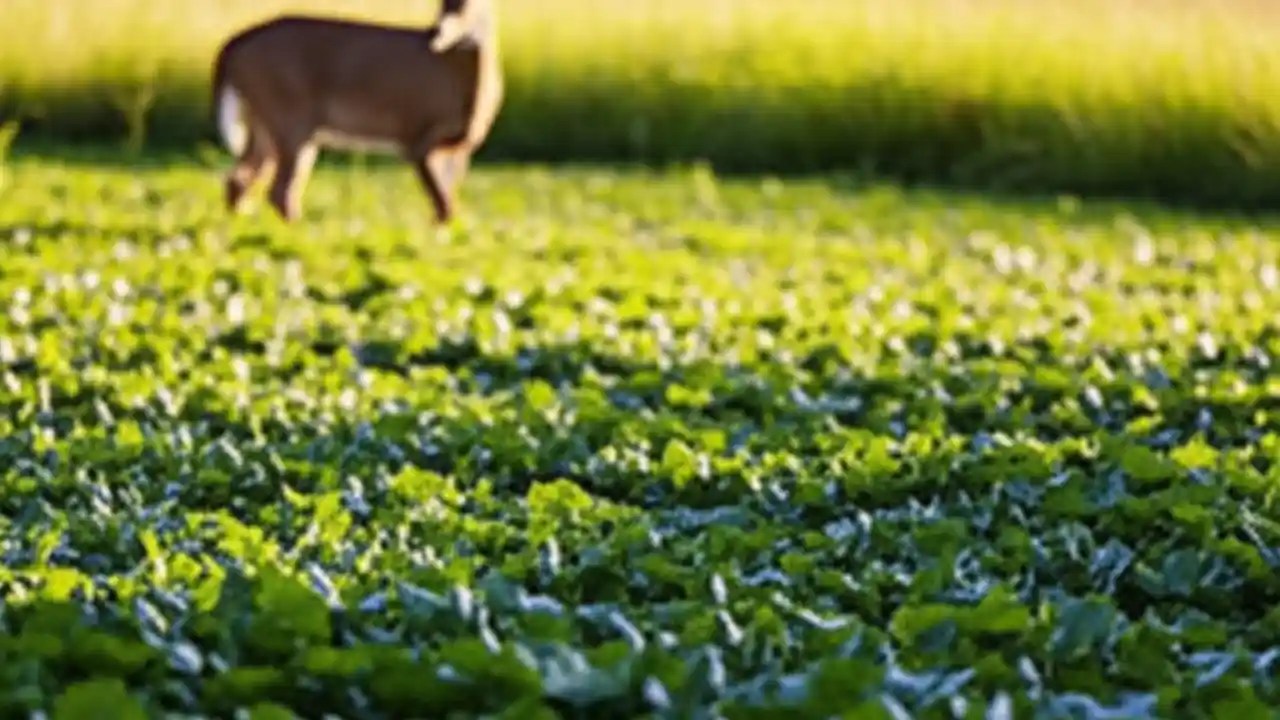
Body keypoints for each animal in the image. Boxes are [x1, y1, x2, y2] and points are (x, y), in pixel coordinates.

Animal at [210, 0, 503, 225]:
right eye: (441, 1)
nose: (438, 32)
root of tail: (230, 47)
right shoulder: (416, 136)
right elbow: (444, 206)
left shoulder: (460, 149)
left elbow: (446, 203)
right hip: (290, 117)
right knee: (279, 190)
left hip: (263, 122)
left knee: (239, 180)